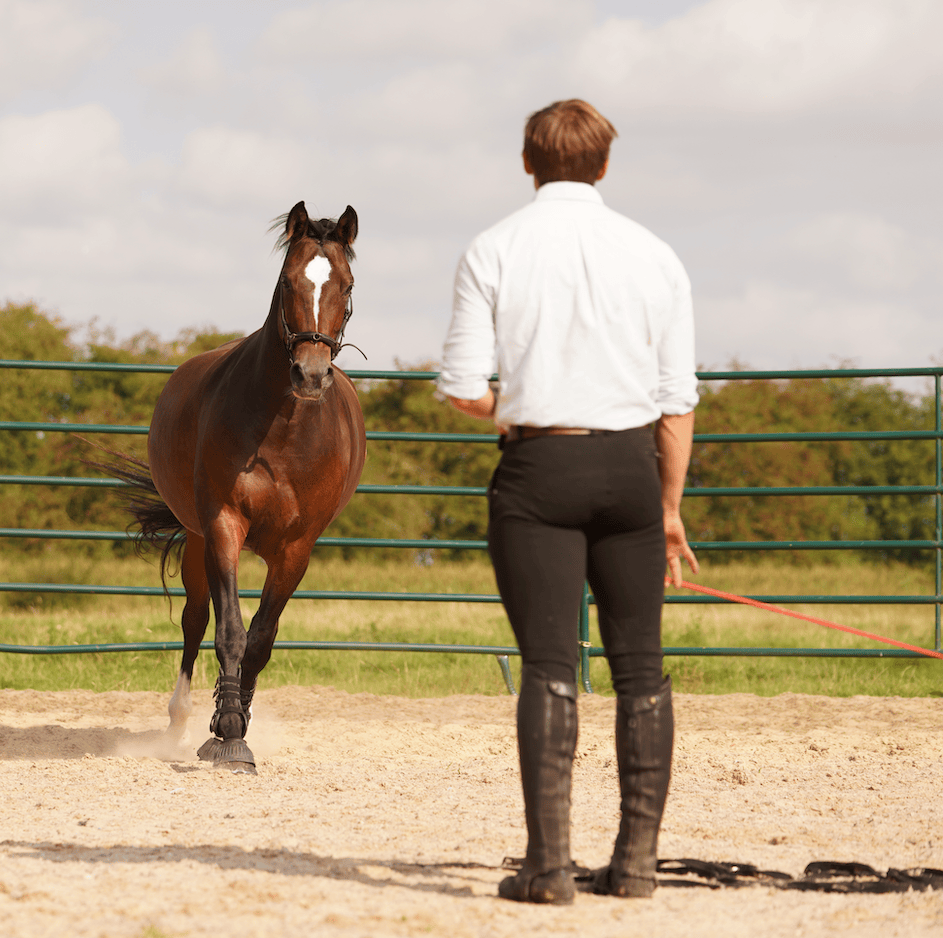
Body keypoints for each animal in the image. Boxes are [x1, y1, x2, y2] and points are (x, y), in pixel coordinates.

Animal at [113, 201, 366, 774]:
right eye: (289, 280)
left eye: (346, 285)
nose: (310, 374)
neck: (284, 430)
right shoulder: (223, 526)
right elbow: (228, 631)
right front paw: (227, 733)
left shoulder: (296, 550)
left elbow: (260, 641)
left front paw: (238, 722)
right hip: (197, 539)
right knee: (194, 620)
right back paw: (181, 720)